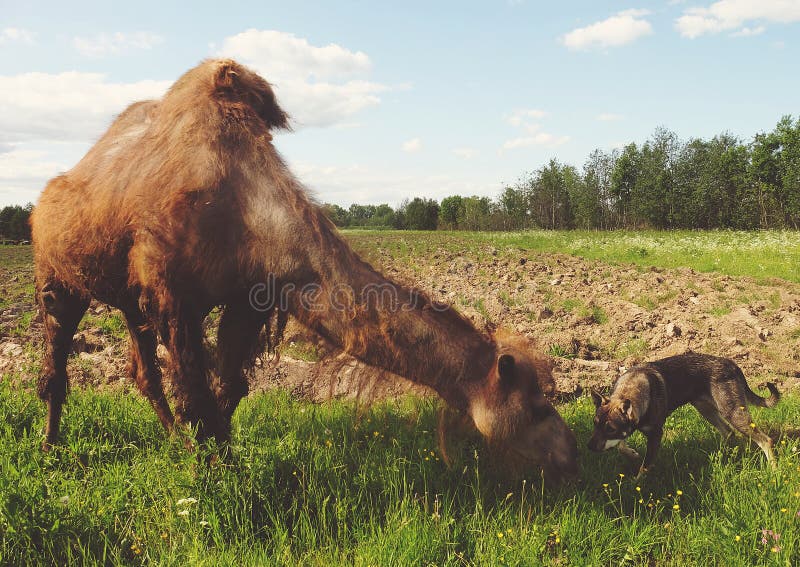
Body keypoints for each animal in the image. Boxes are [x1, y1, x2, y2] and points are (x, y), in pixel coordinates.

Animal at [31, 59, 578, 480]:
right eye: (536, 404)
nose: (569, 454)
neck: (244, 206)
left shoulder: (247, 299)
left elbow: (228, 393)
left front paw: (219, 462)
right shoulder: (174, 296)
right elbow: (198, 402)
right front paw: (213, 481)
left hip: (127, 298)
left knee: (142, 370)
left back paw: (169, 442)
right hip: (57, 273)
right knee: (58, 360)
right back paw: (51, 448)